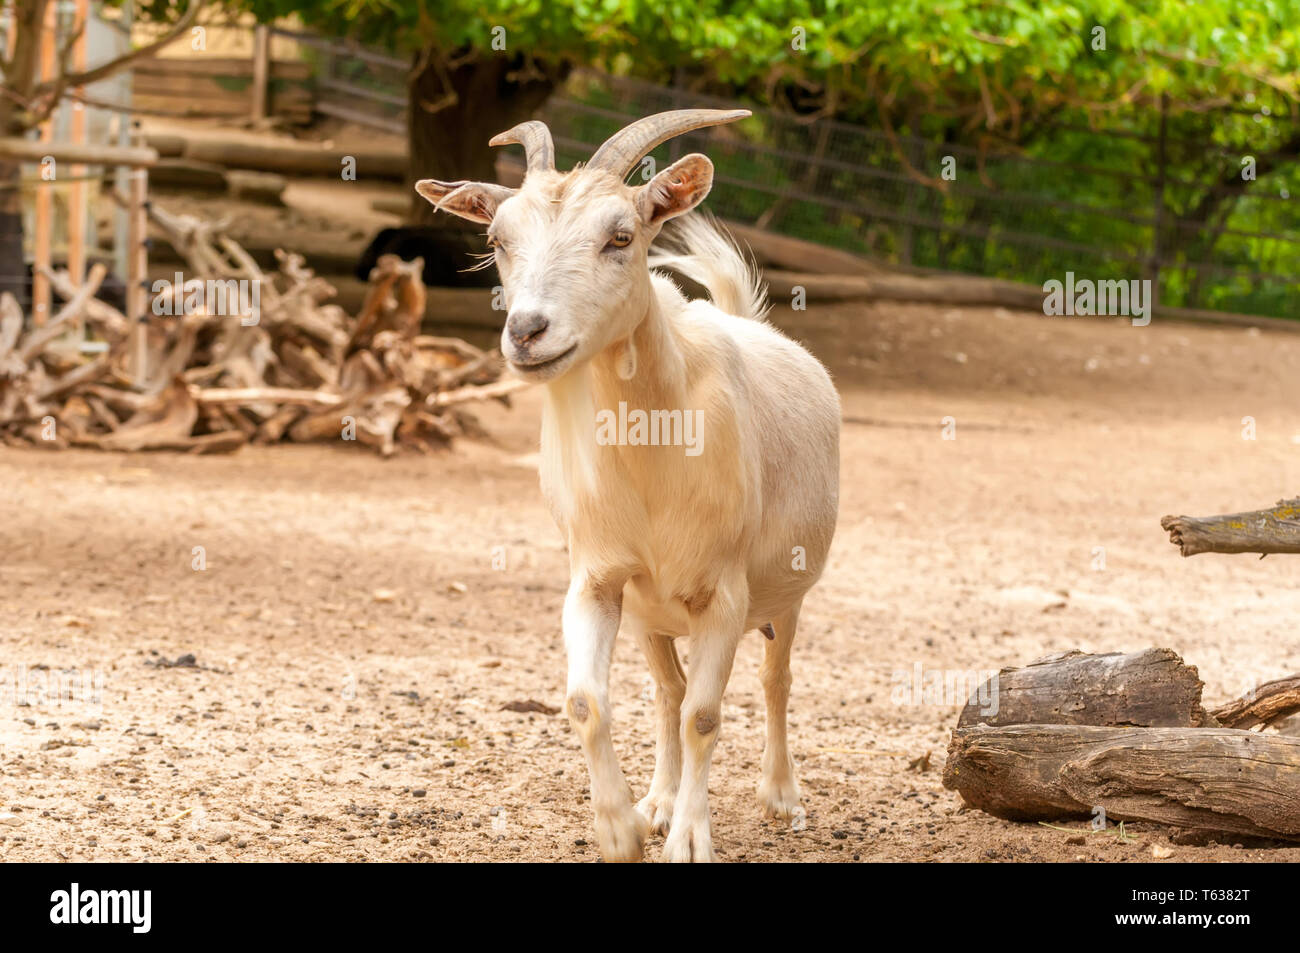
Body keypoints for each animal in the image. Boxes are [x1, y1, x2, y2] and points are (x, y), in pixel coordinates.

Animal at [416, 110, 840, 862]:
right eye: (497, 240)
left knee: (774, 678)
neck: (652, 459)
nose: (527, 332)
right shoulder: (598, 578)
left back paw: (781, 796)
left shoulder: (723, 593)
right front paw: (624, 829)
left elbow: (706, 714)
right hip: (651, 614)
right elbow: (590, 700)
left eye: (621, 236)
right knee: (668, 690)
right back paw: (660, 800)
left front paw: (691, 839)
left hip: (785, 590)